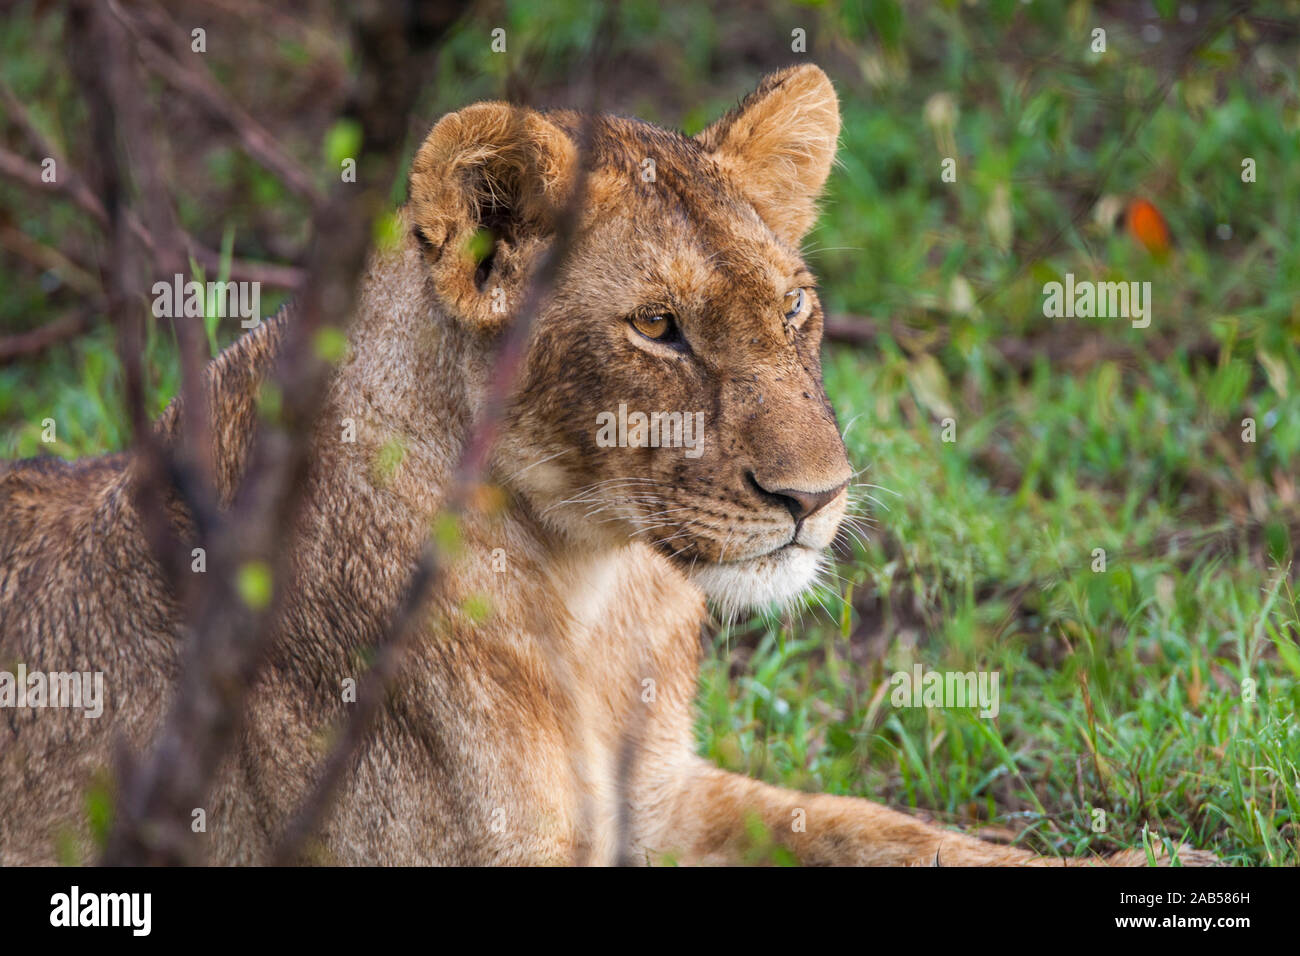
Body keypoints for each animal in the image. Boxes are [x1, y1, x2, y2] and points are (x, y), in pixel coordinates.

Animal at [0, 65, 1213, 865]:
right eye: (658, 328)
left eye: (792, 308)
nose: (815, 498)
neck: (592, 591)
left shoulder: (663, 798)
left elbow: (887, 829)